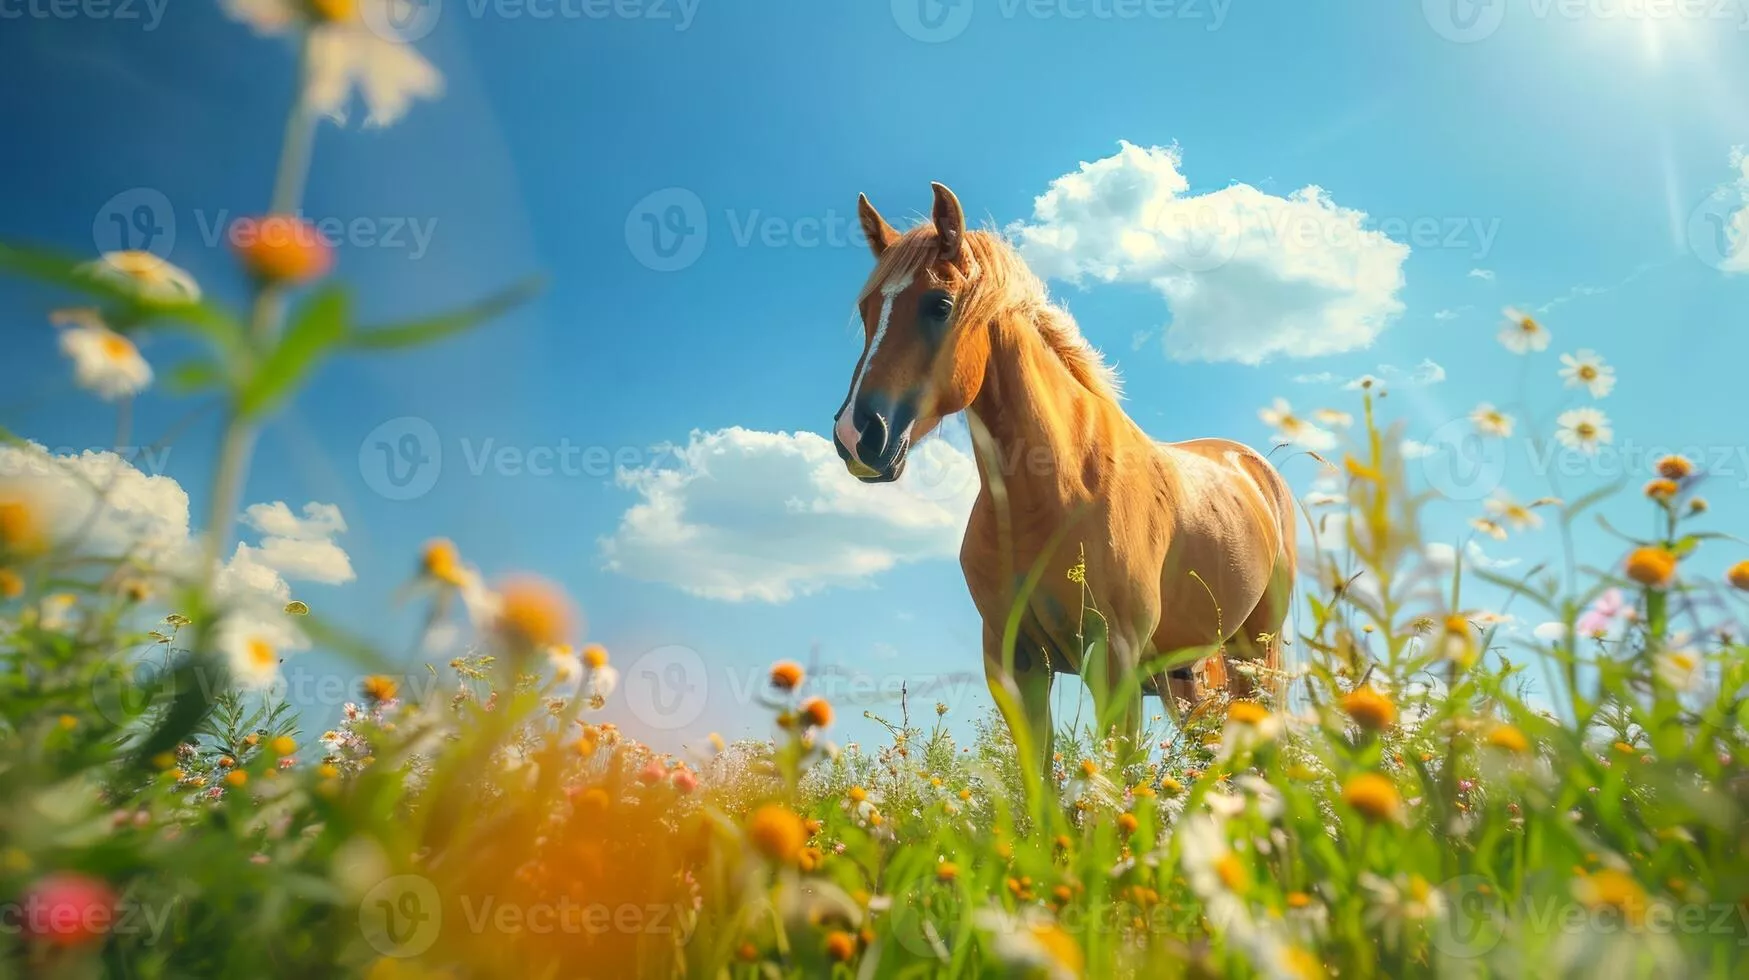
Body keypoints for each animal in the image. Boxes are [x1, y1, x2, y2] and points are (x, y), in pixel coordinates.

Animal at [830, 182, 1297, 765]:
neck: (1058, 489)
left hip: (1254, 656)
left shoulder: (1115, 660)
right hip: (1186, 676)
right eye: (866, 309)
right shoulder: (1016, 665)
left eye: (939, 304)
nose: (856, 435)